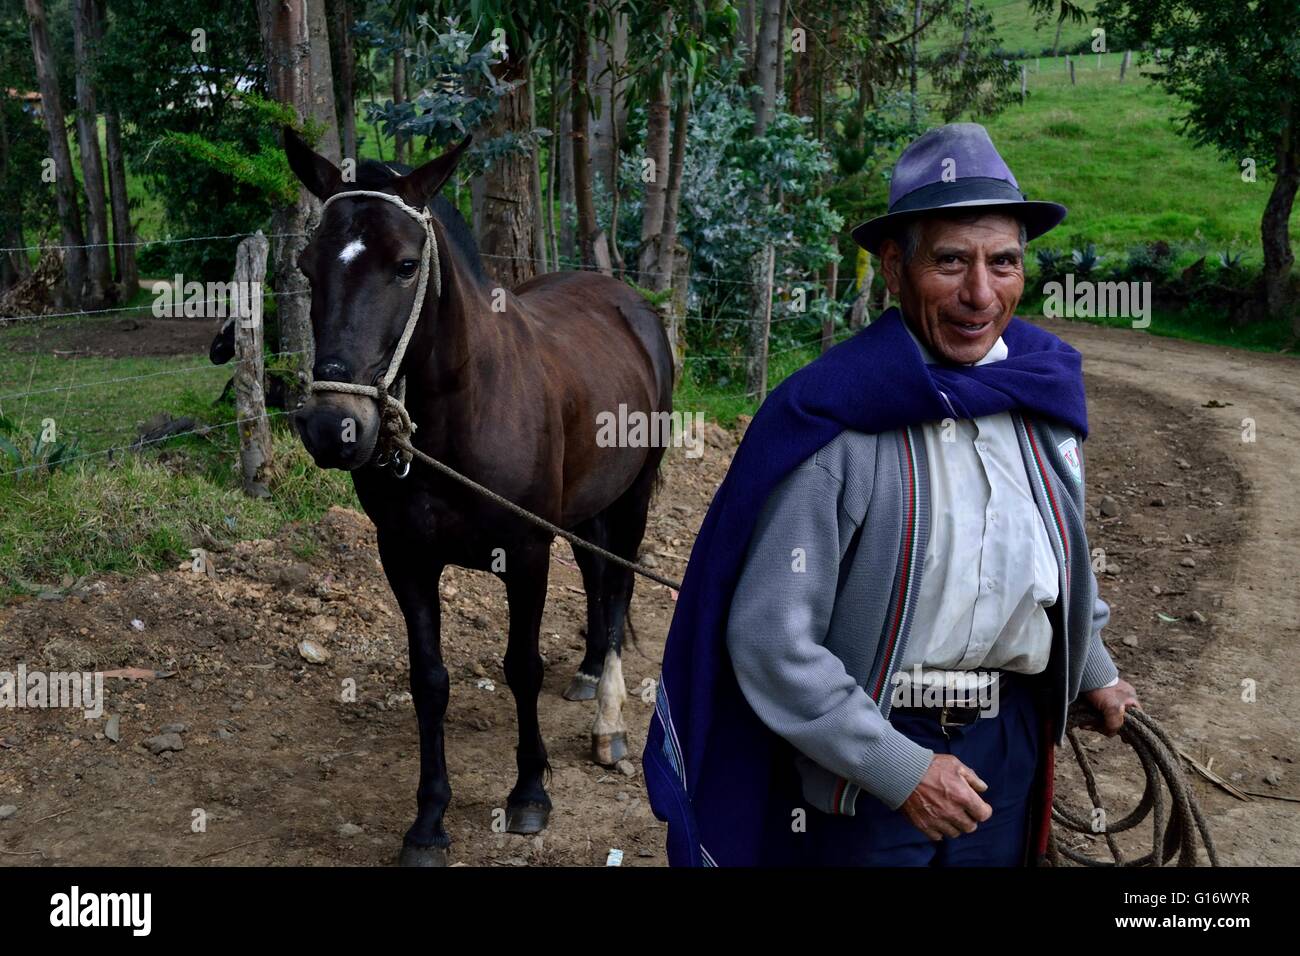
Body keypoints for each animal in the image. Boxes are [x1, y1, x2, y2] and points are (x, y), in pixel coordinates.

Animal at [280, 130, 676, 868]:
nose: (333, 427)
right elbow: (429, 681)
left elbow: (521, 666)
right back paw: (586, 676)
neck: (464, 412)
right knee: (598, 576)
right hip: (584, 505)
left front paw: (529, 795)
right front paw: (429, 820)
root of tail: (627, 300)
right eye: (307, 266)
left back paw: (608, 722)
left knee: (618, 590)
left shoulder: (525, 551)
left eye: (406, 266)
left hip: (633, 495)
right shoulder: (405, 558)